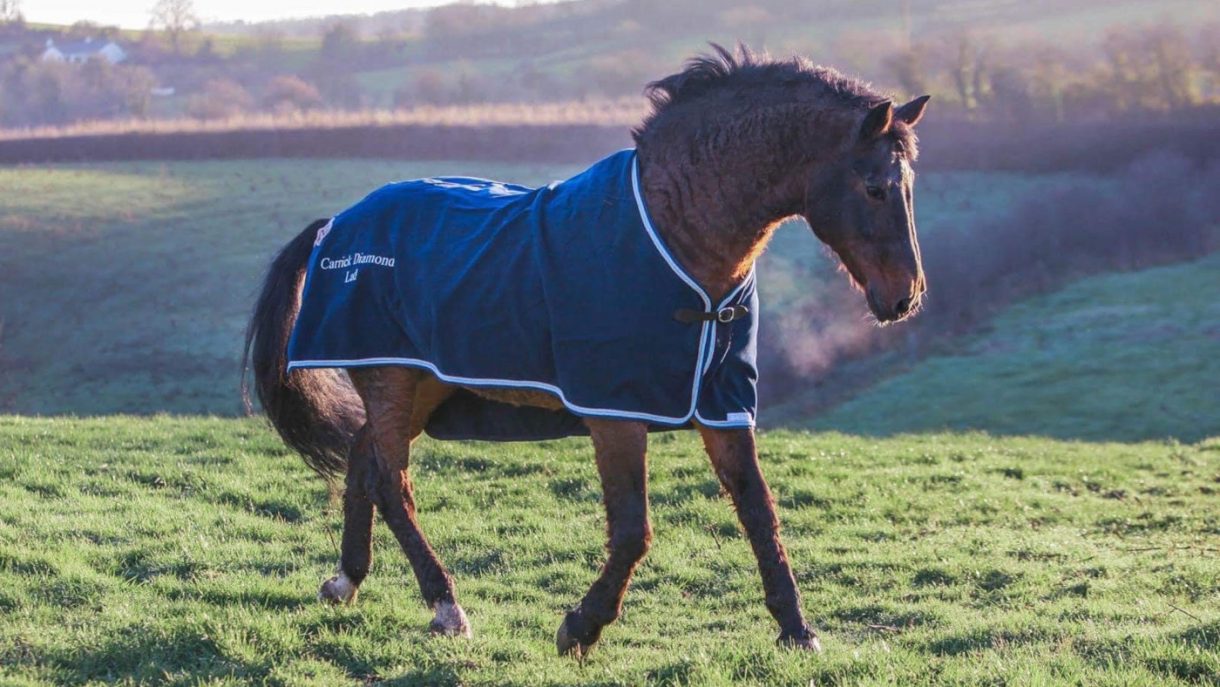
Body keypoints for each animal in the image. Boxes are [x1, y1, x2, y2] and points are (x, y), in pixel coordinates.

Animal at [244, 45, 929, 657]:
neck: (679, 239)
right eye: (875, 187)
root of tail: (337, 223)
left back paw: (346, 580)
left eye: (907, 186)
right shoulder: (615, 411)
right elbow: (632, 533)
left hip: (424, 386)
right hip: (391, 378)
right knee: (391, 481)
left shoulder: (724, 404)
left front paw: (797, 630)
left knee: (364, 458)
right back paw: (445, 605)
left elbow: (760, 512)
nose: (906, 297)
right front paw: (580, 627)